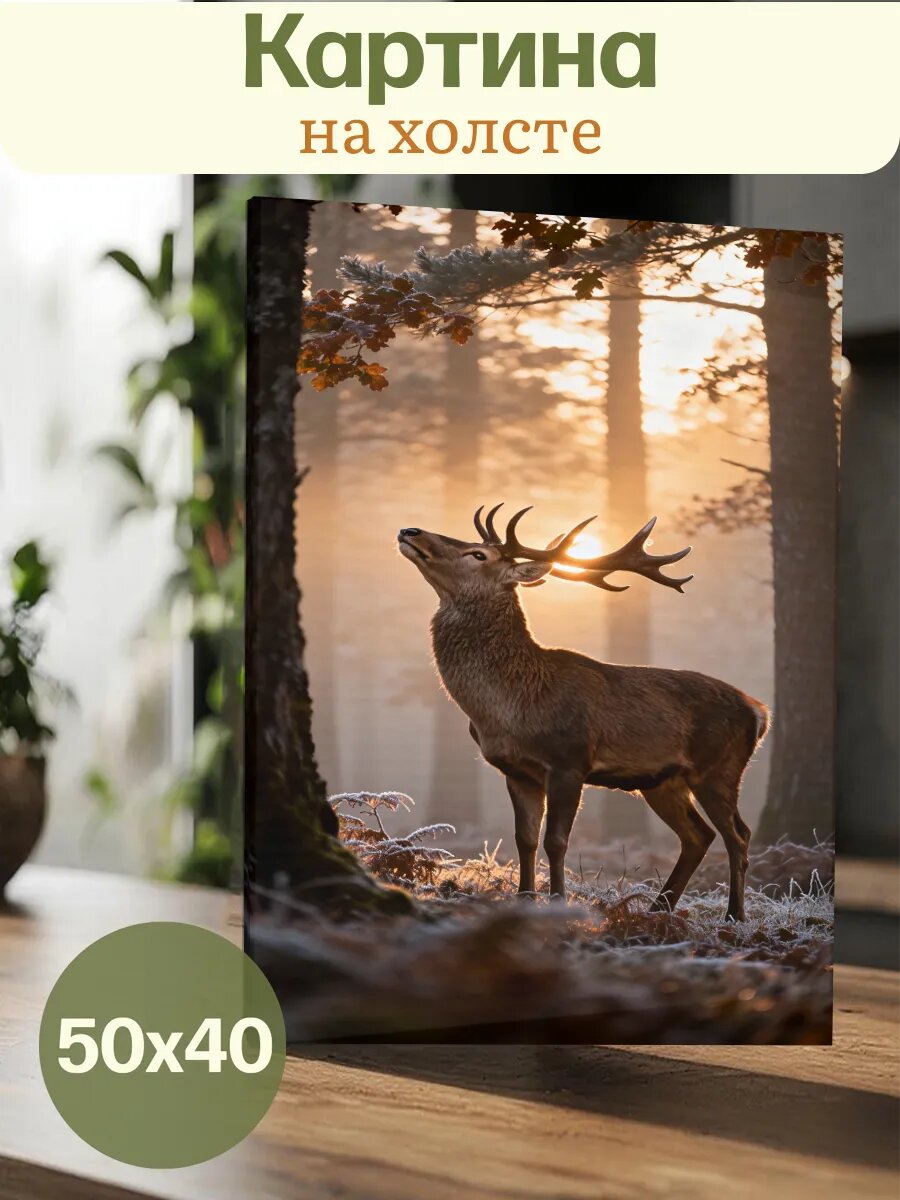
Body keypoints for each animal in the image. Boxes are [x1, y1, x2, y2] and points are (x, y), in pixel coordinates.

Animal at [398, 504, 769, 921]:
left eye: (479, 554)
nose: (410, 530)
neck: (513, 707)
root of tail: (759, 711)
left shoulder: (570, 759)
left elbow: (557, 840)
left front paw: (559, 902)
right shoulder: (516, 771)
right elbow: (524, 839)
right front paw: (524, 900)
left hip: (719, 767)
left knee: (738, 834)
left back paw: (734, 915)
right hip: (662, 781)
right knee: (698, 835)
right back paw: (657, 909)